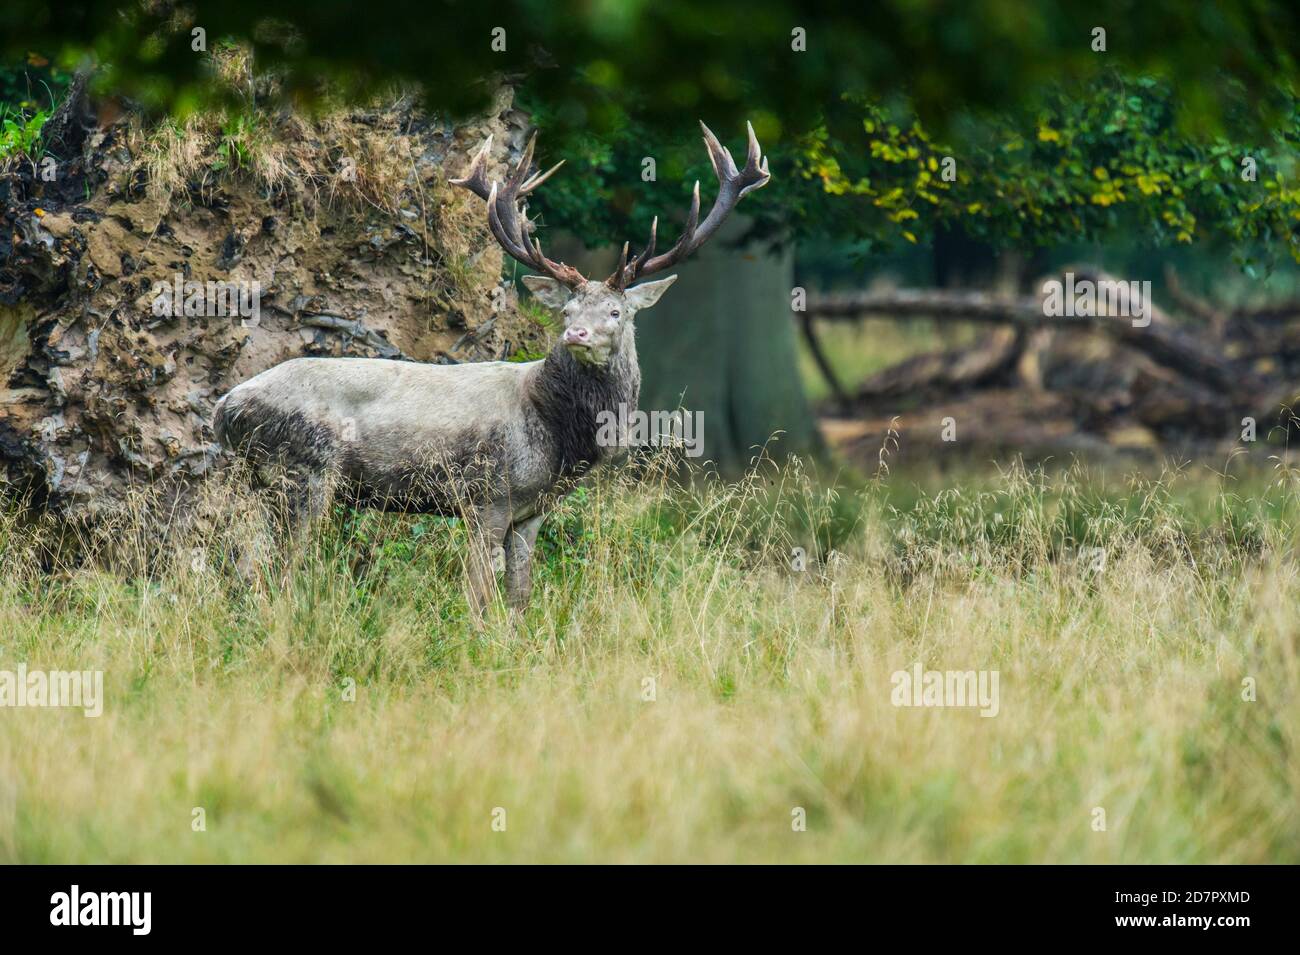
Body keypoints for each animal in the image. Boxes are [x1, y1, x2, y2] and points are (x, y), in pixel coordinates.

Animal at [213, 121, 770, 620]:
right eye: (567, 311)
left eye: (617, 312)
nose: (576, 335)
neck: (556, 434)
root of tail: (224, 409)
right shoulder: (487, 494)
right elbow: (479, 595)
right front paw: (478, 644)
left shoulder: (532, 510)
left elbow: (520, 596)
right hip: (304, 472)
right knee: (276, 569)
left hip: (264, 482)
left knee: (245, 563)